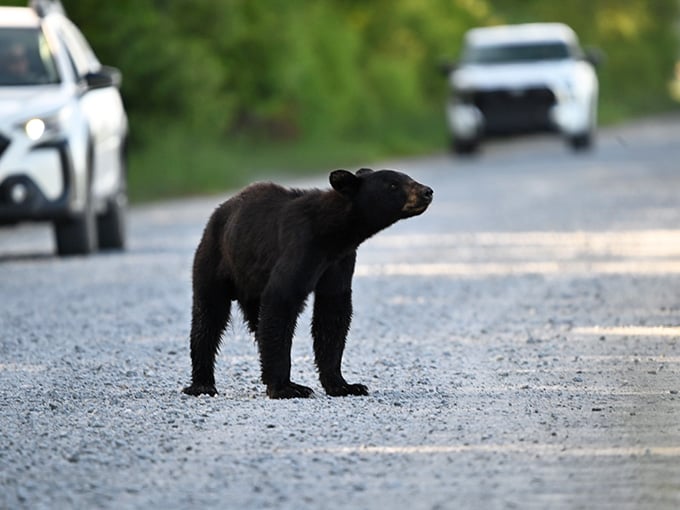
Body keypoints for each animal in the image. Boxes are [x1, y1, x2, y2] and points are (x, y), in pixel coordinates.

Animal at [182, 168, 433, 399]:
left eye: (408, 177)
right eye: (393, 185)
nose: (427, 191)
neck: (333, 233)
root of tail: (219, 211)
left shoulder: (339, 261)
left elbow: (333, 313)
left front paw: (344, 385)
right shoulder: (301, 247)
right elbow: (282, 298)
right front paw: (286, 388)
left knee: (257, 322)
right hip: (213, 260)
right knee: (209, 316)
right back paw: (202, 384)